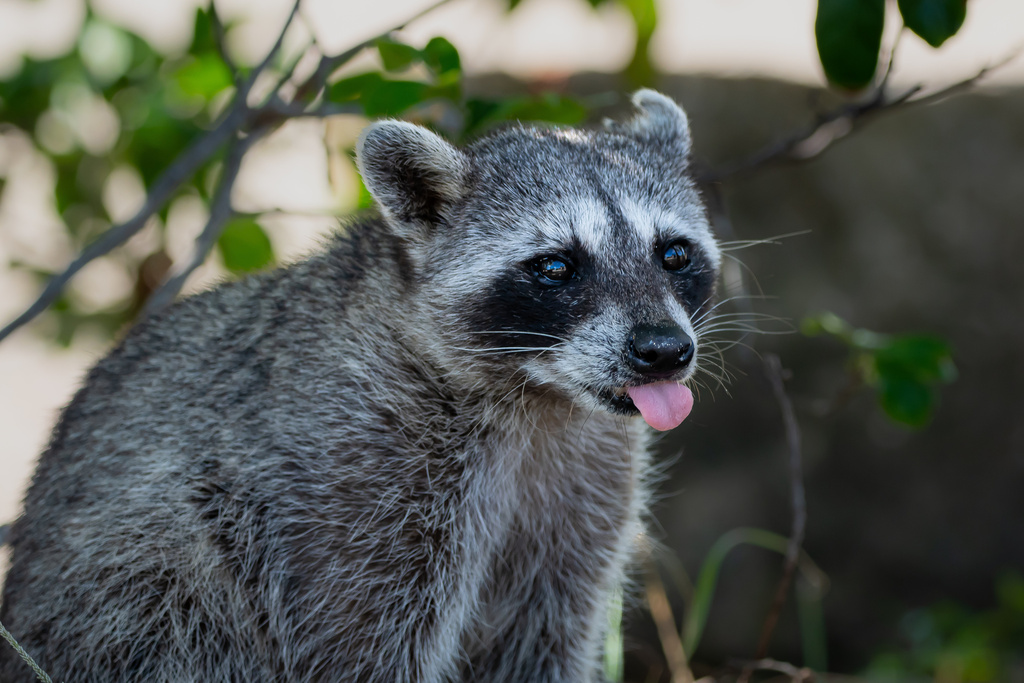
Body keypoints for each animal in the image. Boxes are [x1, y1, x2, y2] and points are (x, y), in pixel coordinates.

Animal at [0, 90, 720, 682]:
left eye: (673, 253)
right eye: (555, 267)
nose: (663, 351)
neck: (540, 399)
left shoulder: (583, 491)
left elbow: (541, 636)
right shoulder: (351, 476)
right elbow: (357, 643)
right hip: (149, 584)